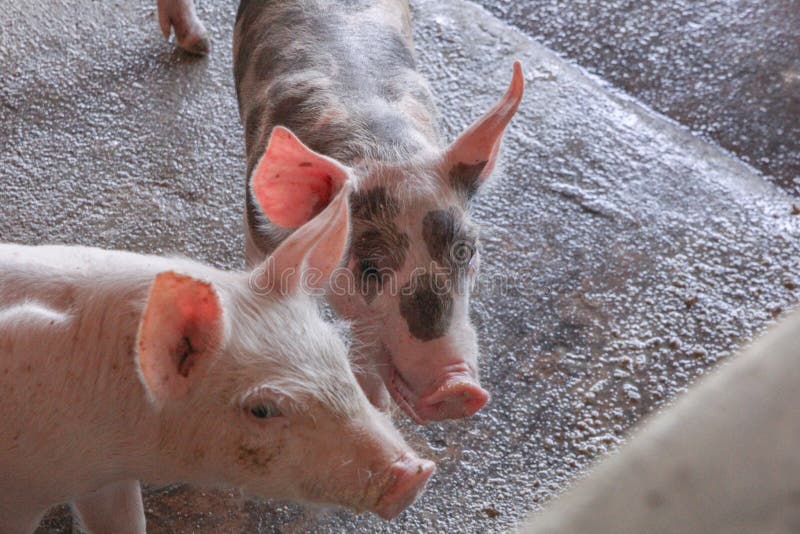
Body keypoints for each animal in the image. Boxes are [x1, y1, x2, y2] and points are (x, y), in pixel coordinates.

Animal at [0, 189, 434, 533]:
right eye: (262, 410)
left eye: (341, 357)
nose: (415, 473)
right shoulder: (22, 494)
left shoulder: (104, 481)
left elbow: (125, 522)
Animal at [157, 0, 524, 423]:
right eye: (369, 268)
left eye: (465, 251)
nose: (457, 386)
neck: (381, 148)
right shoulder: (257, 229)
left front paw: (377, 408)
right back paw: (198, 45)